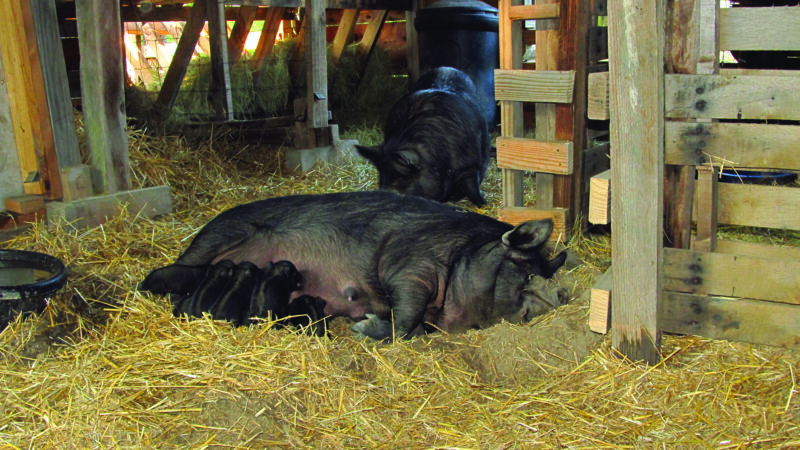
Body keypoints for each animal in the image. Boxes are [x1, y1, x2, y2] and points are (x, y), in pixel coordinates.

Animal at [140, 191, 568, 340]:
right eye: (527, 271)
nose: (562, 293)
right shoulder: (408, 263)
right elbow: (404, 317)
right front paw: (366, 327)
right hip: (218, 233)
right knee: (179, 269)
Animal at [356, 67, 492, 207]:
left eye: (401, 179)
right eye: (382, 176)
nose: (384, 193)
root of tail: (446, 68)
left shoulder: (471, 165)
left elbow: (473, 187)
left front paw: (484, 204)